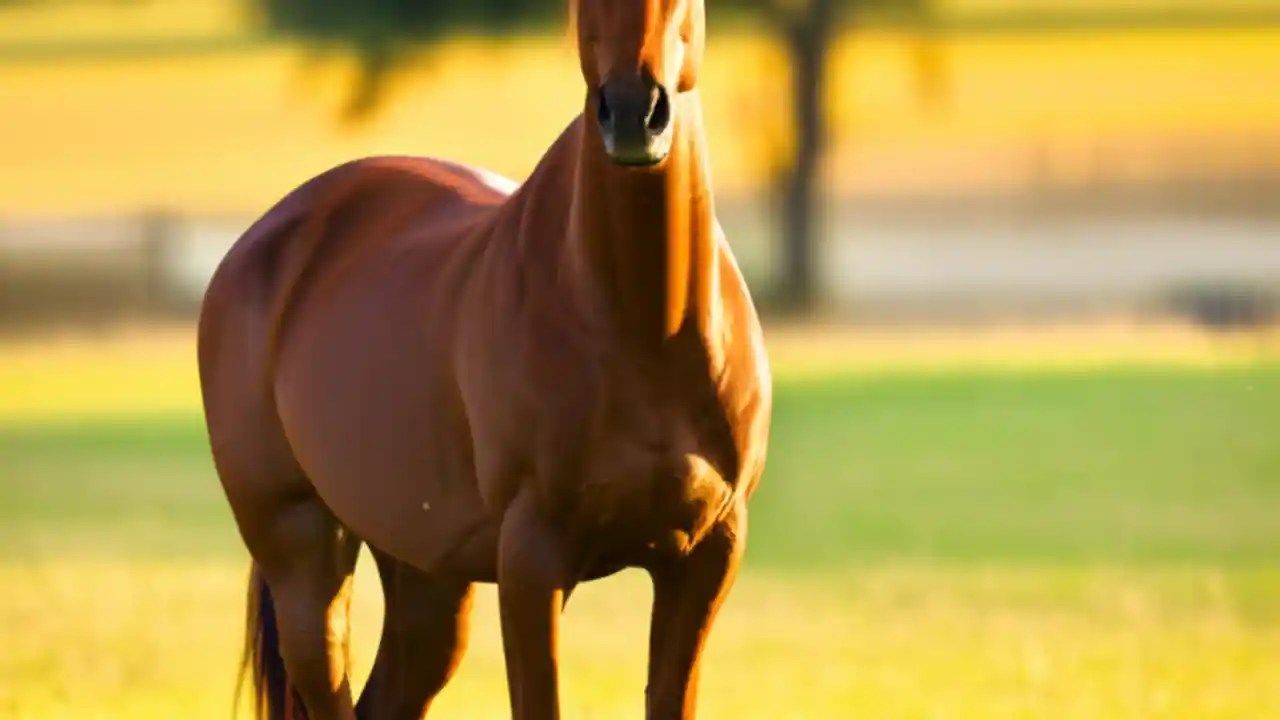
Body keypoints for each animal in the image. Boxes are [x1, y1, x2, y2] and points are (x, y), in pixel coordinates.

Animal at [197, 0, 771, 717]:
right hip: (305, 558)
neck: (645, 328)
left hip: (426, 576)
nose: (634, 114)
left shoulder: (705, 554)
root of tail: (256, 245)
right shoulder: (532, 559)